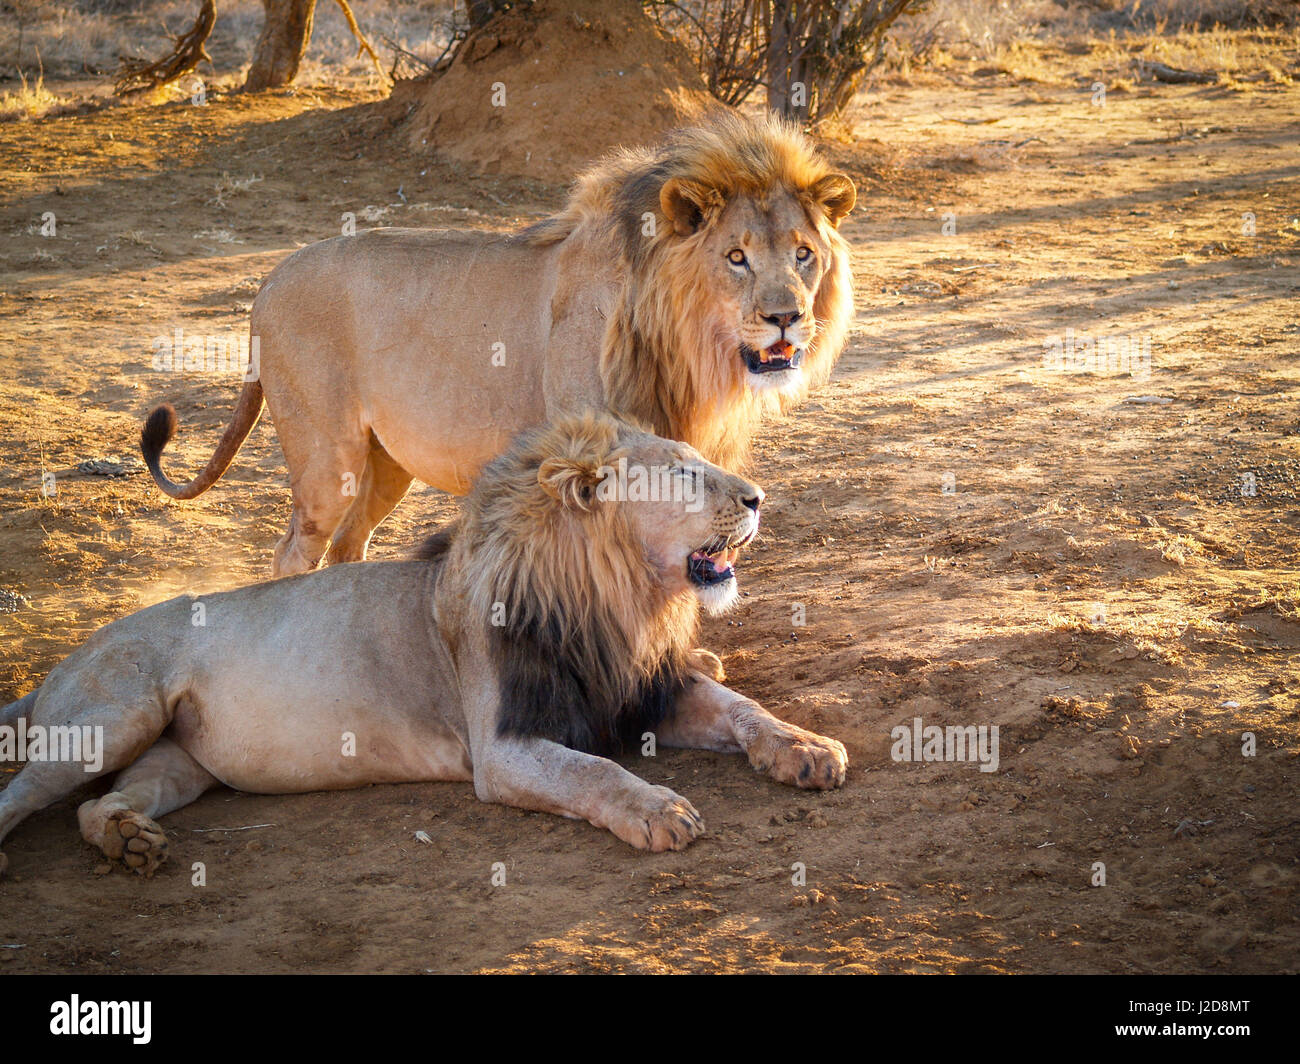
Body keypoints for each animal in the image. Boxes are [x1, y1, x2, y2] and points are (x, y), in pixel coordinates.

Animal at [0, 413, 847, 877]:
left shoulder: (641, 690)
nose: (758, 498)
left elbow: (741, 706)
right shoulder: (503, 746)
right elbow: (594, 771)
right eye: (684, 474)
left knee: (103, 802)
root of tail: (63, 661)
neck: (616, 600)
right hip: (112, 719)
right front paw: (659, 808)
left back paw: (128, 842)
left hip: (179, 763)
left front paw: (806, 747)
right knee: (23, 792)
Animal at [140, 111, 856, 577]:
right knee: (293, 552)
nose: (786, 317)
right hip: (327, 461)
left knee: (347, 548)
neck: (687, 349)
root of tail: (268, 280)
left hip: (386, 465)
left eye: (803, 254)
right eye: (736, 257)